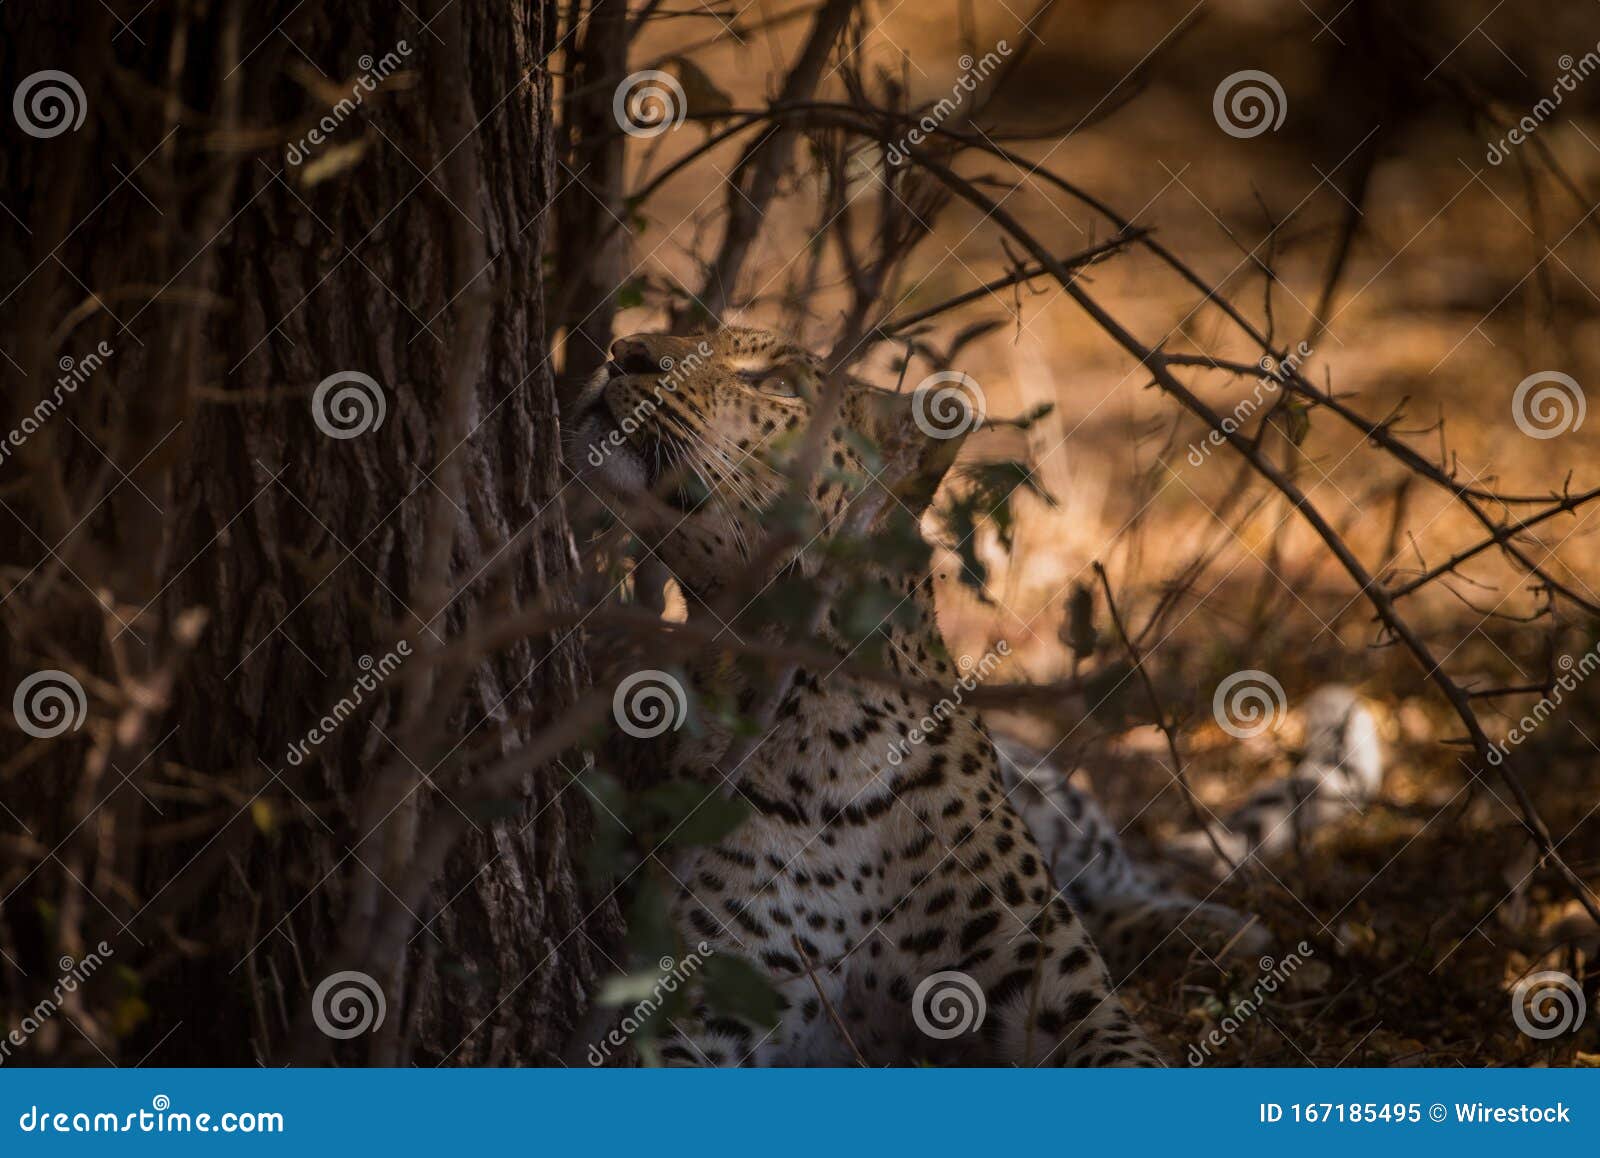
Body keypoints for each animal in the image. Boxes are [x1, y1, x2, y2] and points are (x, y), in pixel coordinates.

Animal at [565, 324, 1379, 1066]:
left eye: (776, 382)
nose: (623, 350)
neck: (824, 722)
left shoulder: (1058, 993)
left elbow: (1127, 1055)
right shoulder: (706, 1014)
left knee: (1124, 881)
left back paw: (1223, 928)